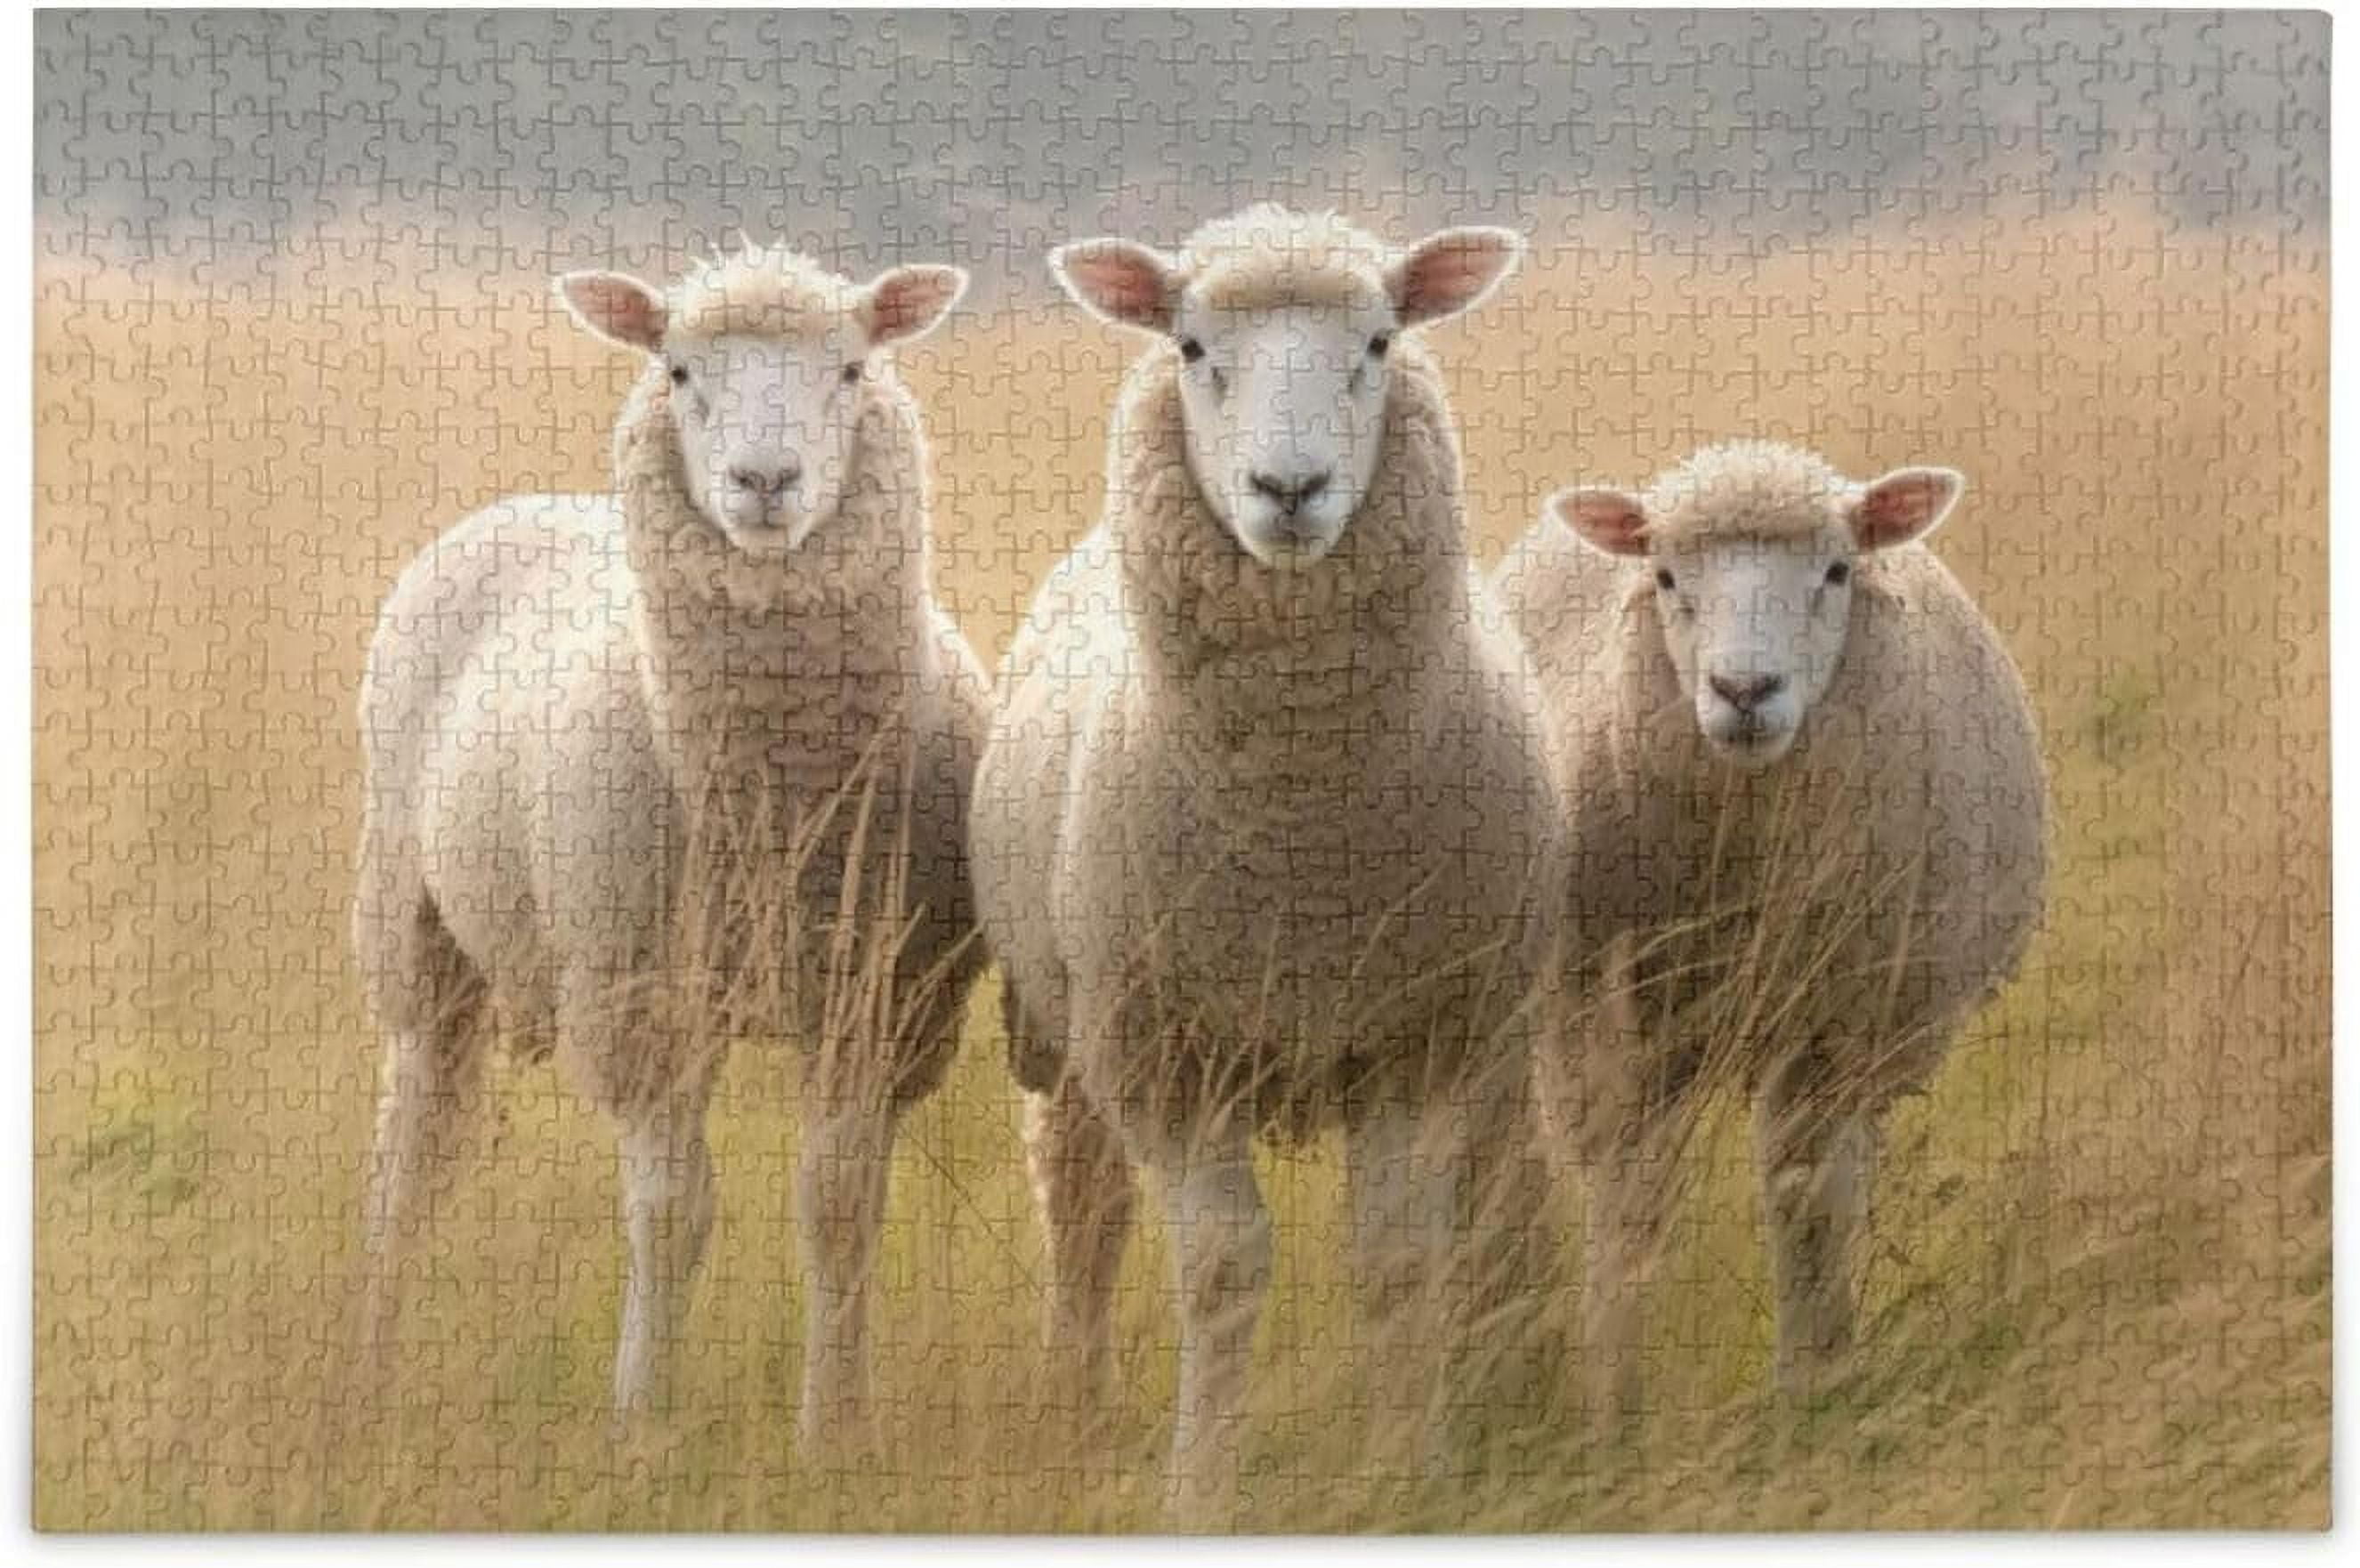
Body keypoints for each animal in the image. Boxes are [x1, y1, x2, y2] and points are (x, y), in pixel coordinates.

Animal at [351, 241, 988, 1447]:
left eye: (849, 368)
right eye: (681, 370)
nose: (764, 482)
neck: (774, 792)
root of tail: (534, 501)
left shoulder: (875, 1005)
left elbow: (841, 1209)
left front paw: (835, 1429)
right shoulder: (643, 997)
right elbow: (670, 1214)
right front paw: (641, 1417)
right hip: (413, 921)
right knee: (411, 1154)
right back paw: (375, 1353)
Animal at [969, 205, 1562, 1522]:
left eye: (1379, 341)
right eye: (1194, 347)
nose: (1289, 489)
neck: (1301, 832)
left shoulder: (1414, 1035)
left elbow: (1396, 1260)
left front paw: (1408, 1470)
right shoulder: (1160, 1051)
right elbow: (1223, 1265)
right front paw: (1201, 1487)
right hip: (1072, 1031)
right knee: (1082, 1211)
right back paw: (1077, 1405)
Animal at [1491, 440, 2048, 1419]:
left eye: (1836, 571)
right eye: (1667, 577)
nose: (1744, 689)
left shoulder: (1832, 1018)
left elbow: (1806, 1201)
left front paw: (1811, 1383)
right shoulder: (1613, 1022)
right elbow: (1630, 1200)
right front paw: (1614, 1403)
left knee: (1845, 1168)